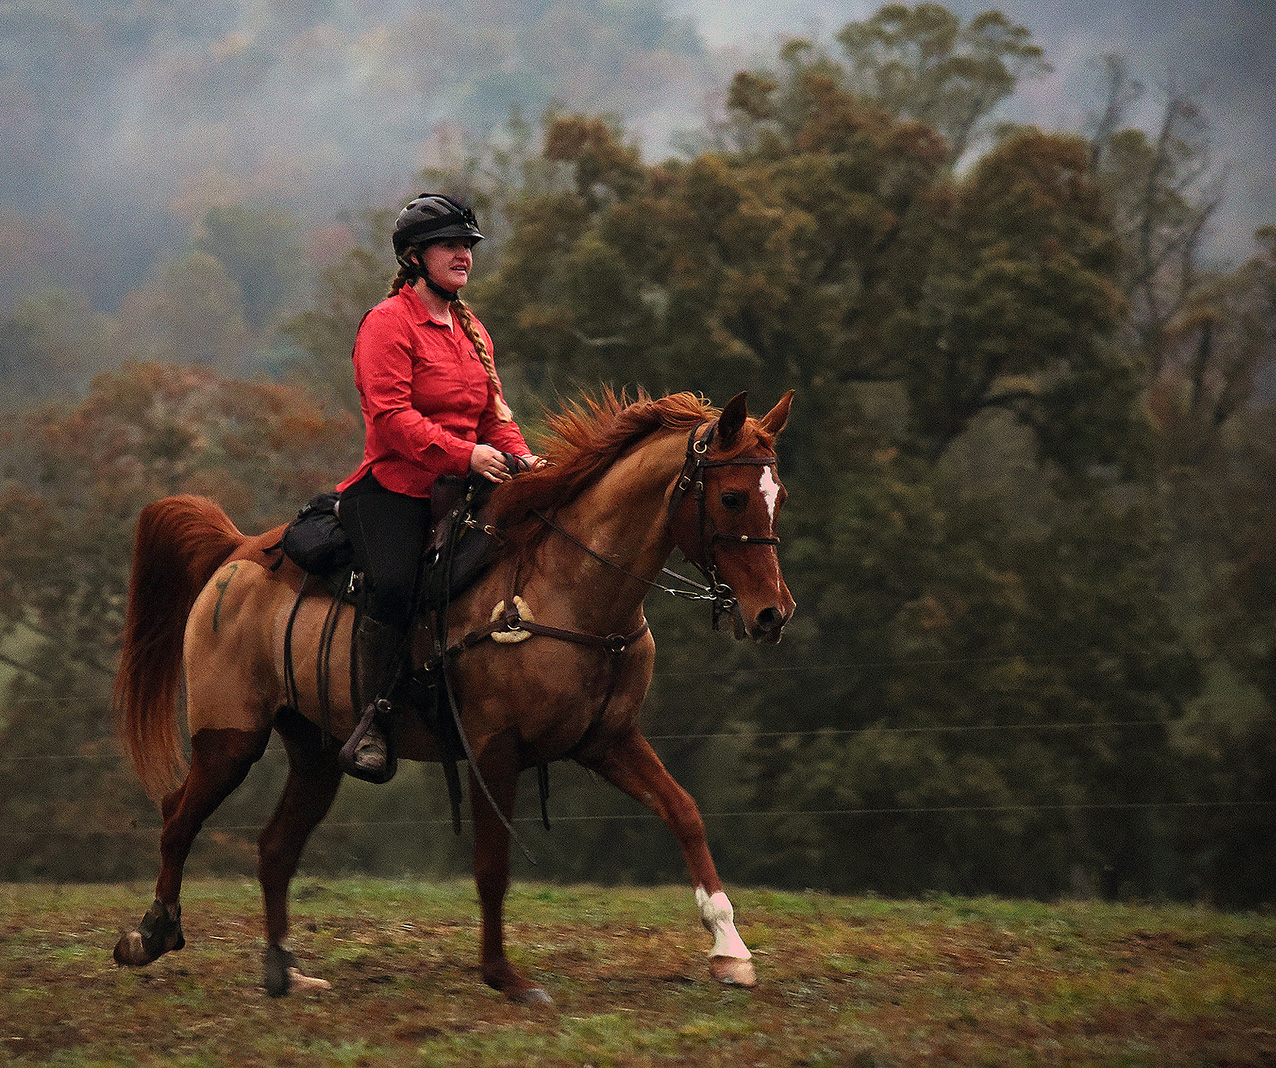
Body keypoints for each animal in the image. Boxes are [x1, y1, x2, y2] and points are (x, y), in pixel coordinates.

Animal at [111, 388, 795, 1006]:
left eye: (778, 497)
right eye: (731, 497)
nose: (772, 614)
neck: (567, 589)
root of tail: (236, 551)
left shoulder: (609, 741)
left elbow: (685, 813)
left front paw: (730, 950)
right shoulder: (494, 751)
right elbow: (492, 865)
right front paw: (504, 977)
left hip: (315, 753)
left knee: (275, 846)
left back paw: (286, 969)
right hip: (231, 740)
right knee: (177, 815)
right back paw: (152, 933)